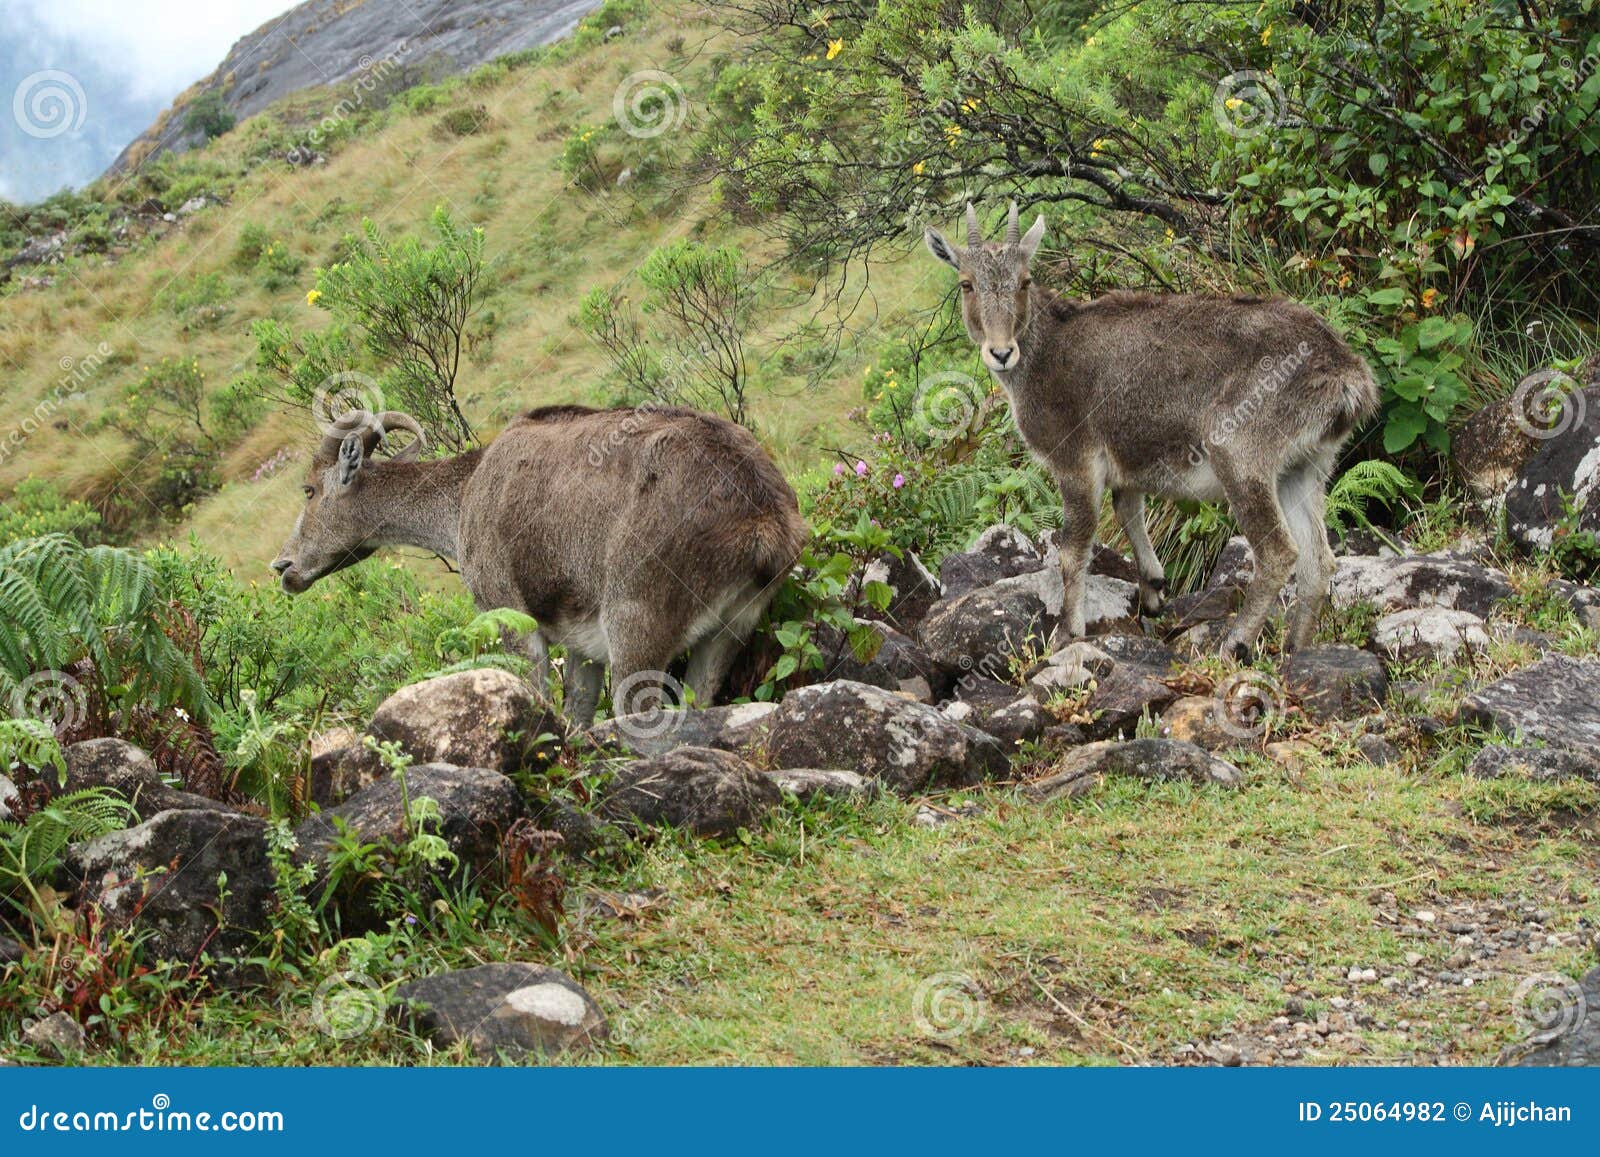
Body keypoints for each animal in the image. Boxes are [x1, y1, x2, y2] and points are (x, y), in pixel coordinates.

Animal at [272, 404, 807, 723]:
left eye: (310, 490)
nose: (283, 567)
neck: (464, 496)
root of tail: (766, 519)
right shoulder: (582, 642)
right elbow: (578, 708)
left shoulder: (510, 613)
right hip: (733, 628)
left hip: (638, 622)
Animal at [925, 203, 1377, 657]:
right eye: (967, 283)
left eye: (1024, 280)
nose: (1001, 352)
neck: (1045, 353)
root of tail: (1348, 377)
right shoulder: (1127, 463)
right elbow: (1128, 512)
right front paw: (1154, 589)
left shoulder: (1075, 460)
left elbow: (1073, 549)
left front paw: (1069, 632)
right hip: (1305, 467)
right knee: (1319, 561)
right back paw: (1297, 646)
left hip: (1241, 455)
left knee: (1278, 552)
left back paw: (1234, 643)